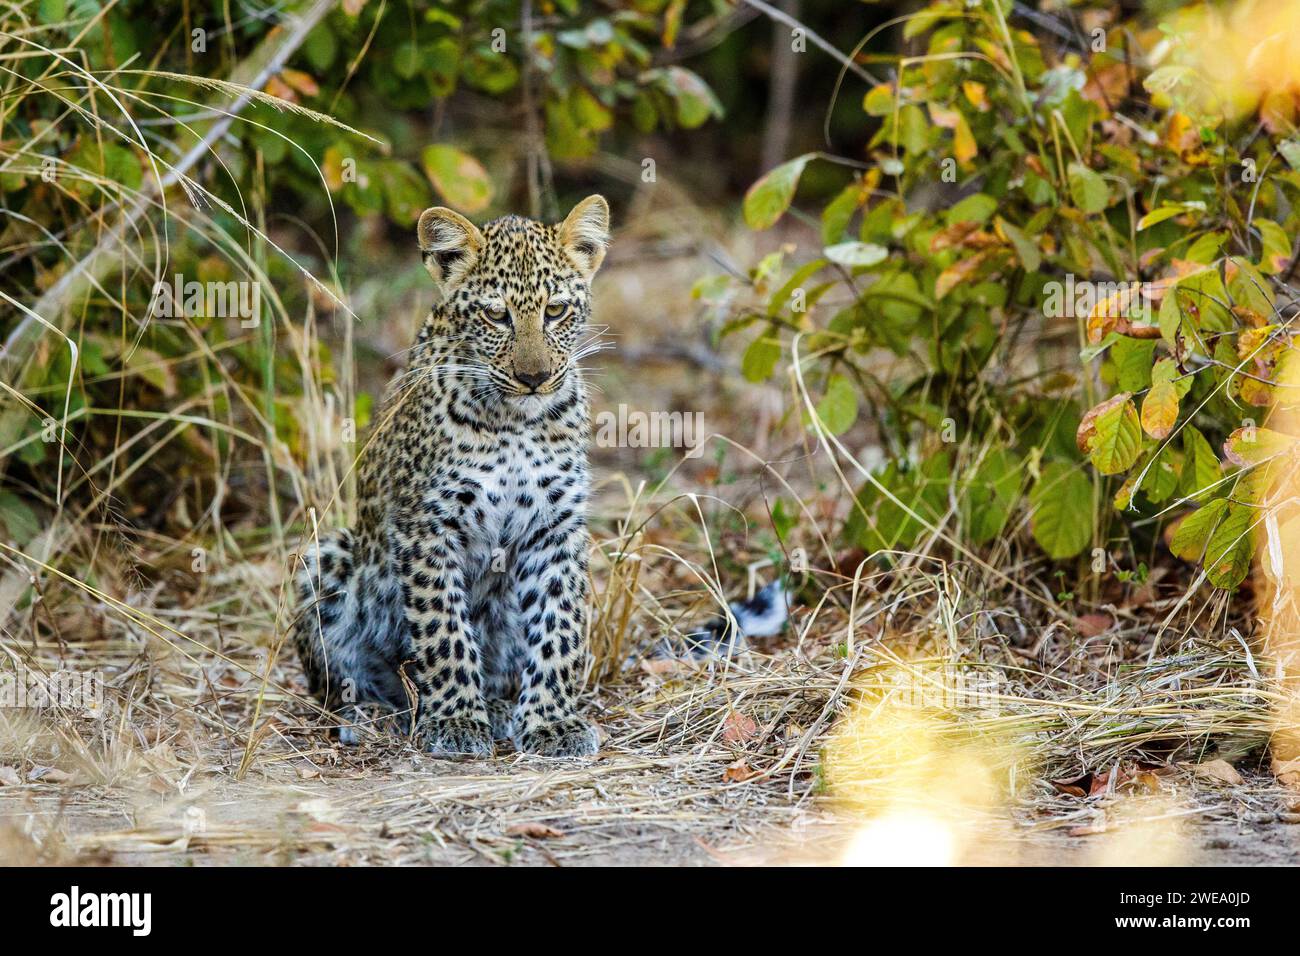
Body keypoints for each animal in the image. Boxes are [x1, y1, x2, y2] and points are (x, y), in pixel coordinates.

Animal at [291, 195, 611, 758]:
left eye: (555, 310)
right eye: (496, 314)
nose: (534, 378)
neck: (516, 422)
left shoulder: (554, 526)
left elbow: (559, 626)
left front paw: (552, 722)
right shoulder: (427, 525)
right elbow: (444, 629)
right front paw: (459, 721)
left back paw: (501, 708)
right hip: (327, 555)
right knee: (345, 682)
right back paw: (373, 714)